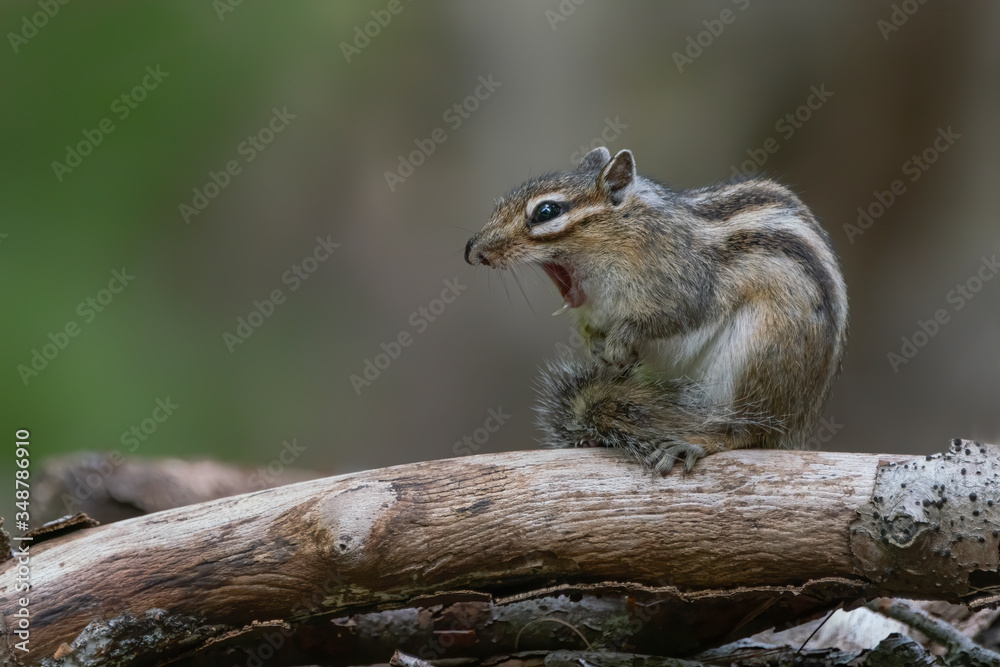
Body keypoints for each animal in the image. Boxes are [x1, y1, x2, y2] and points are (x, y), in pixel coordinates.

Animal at [464, 147, 848, 473]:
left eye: (547, 212)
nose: (472, 250)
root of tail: (797, 425)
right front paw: (599, 348)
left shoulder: (688, 285)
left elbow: (672, 317)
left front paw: (622, 339)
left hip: (762, 353)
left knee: (750, 430)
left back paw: (697, 442)